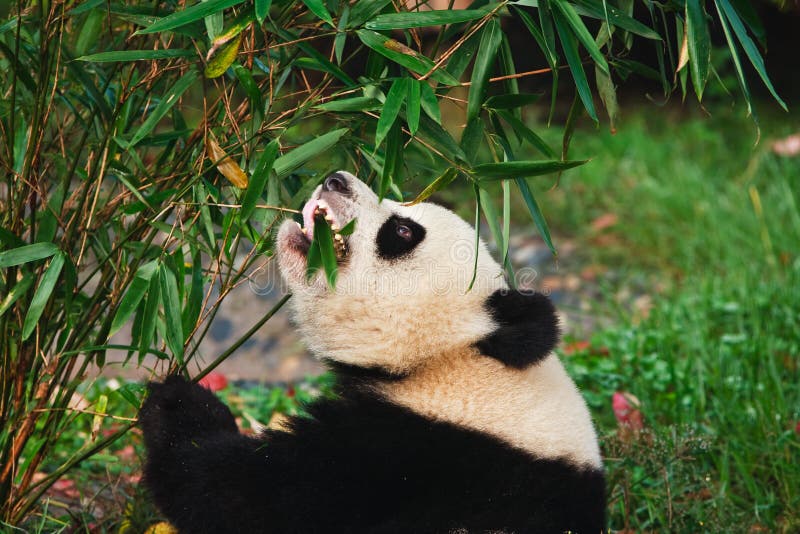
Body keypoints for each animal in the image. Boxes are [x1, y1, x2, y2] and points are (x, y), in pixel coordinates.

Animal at [138, 171, 605, 533]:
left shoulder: (410, 456)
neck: (455, 363)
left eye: (402, 231)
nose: (335, 179)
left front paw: (177, 404)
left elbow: (249, 496)